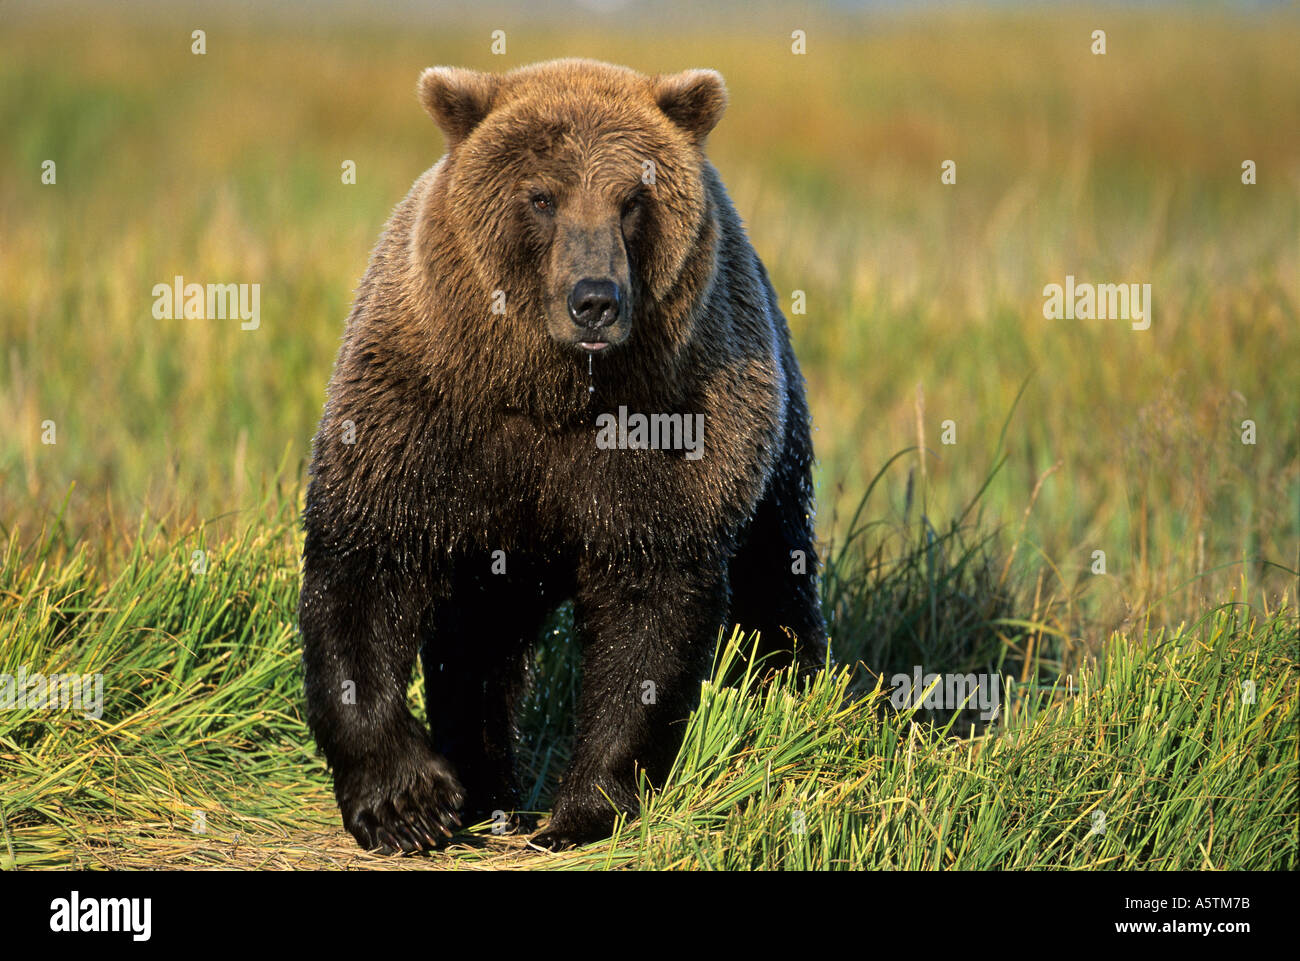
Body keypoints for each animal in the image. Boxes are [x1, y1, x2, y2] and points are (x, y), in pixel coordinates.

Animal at [299, 58, 826, 853]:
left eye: (632, 198)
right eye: (541, 196)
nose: (595, 300)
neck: (550, 393)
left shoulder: (668, 429)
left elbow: (650, 607)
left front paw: (583, 810)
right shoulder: (425, 410)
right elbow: (366, 566)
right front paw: (409, 803)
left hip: (773, 432)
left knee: (776, 578)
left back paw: (793, 696)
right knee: (478, 639)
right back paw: (484, 784)